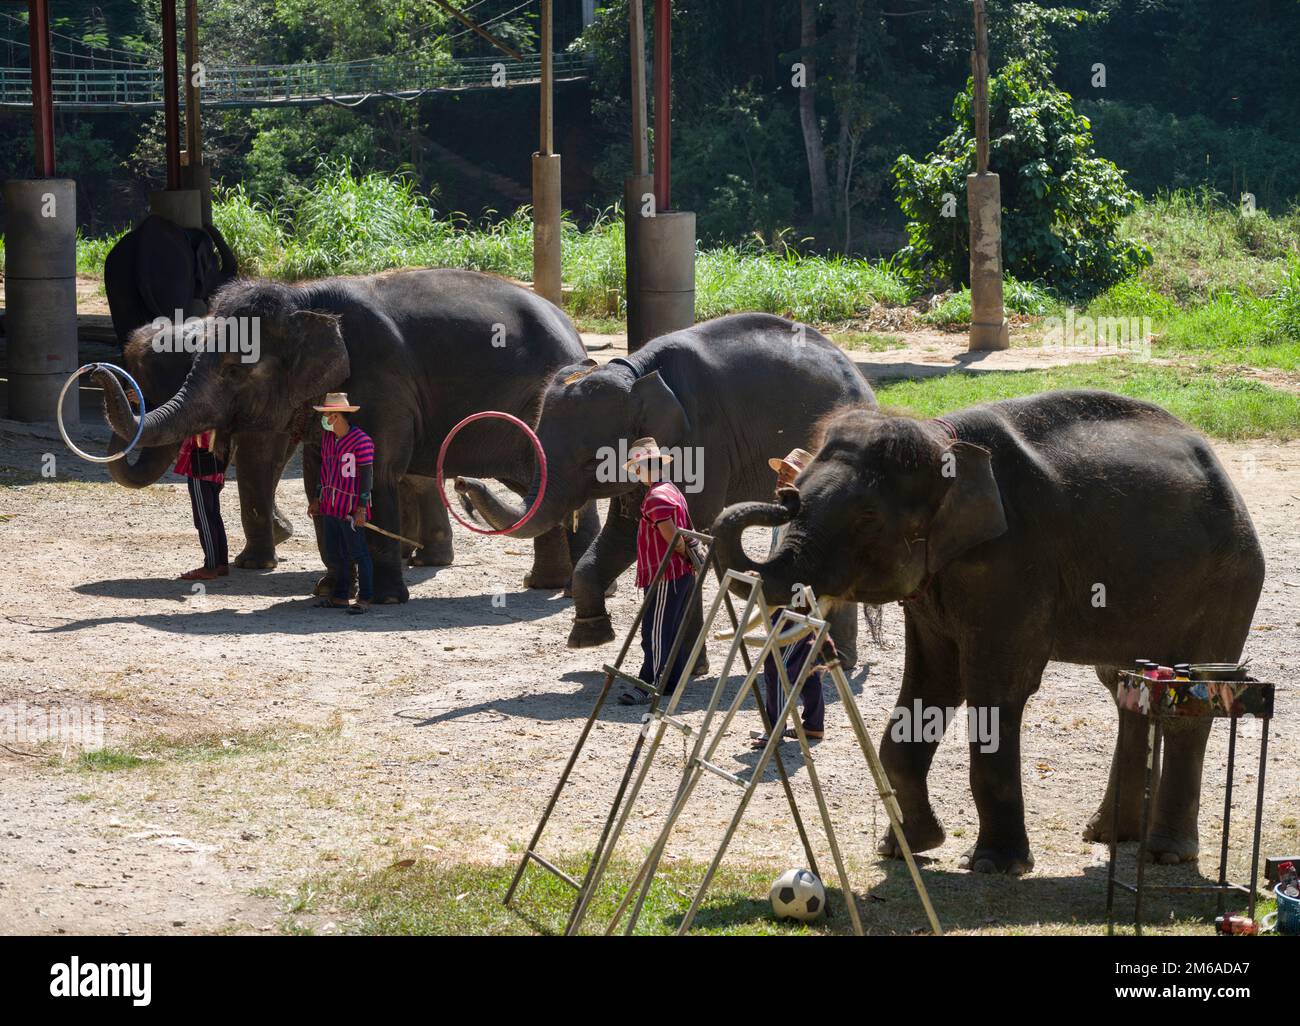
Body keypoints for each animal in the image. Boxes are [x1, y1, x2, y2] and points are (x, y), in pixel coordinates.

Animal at [96, 267, 600, 602]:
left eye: (237, 369)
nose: (103, 372)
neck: (303, 298)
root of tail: (573, 329)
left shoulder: (381, 381)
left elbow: (376, 470)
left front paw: (384, 599)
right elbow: (318, 479)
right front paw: (328, 591)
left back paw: (571, 586)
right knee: (536, 486)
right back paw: (551, 585)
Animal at [456, 313, 876, 667]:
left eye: (592, 461)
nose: (462, 483)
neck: (634, 371)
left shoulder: (704, 444)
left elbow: (687, 532)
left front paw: (685, 668)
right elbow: (625, 534)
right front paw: (590, 638)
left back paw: (830, 660)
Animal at [709, 390, 1265, 873]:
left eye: (865, 517)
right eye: (799, 493)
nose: (783, 496)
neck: (940, 440)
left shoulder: (1010, 563)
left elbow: (995, 689)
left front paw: (995, 865)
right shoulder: (935, 585)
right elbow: (932, 685)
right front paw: (907, 848)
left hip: (1228, 583)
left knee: (1190, 699)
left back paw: (1166, 854)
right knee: (1126, 687)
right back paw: (1108, 835)